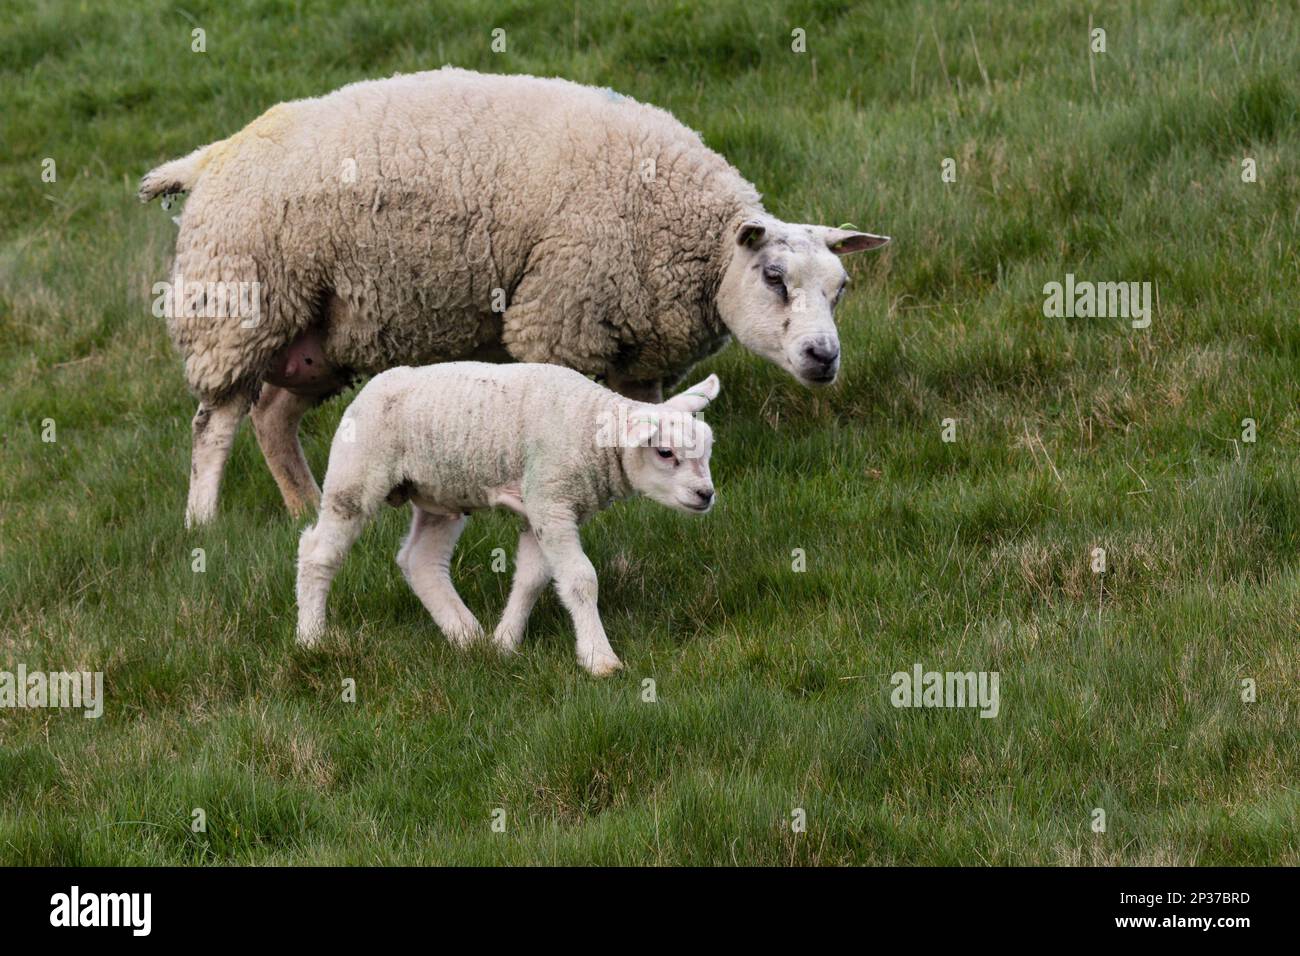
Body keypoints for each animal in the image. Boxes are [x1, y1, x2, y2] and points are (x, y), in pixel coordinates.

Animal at [139, 68, 889, 527]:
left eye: (841, 289)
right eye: (773, 277)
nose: (824, 357)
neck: (686, 229)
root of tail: (210, 157)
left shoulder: (639, 350)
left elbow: (644, 417)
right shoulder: (560, 316)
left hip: (321, 336)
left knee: (271, 415)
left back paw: (304, 506)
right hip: (238, 305)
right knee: (216, 424)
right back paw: (203, 522)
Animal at [295, 362, 721, 676]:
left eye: (708, 449)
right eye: (665, 452)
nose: (706, 495)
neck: (589, 426)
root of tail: (367, 388)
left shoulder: (542, 507)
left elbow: (532, 578)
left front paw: (503, 643)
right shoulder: (551, 499)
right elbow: (581, 579)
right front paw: (600, 659)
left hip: (440, 493)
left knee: (421, 561)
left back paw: (467, 636)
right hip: (356, 471)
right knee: (318, 553)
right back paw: (311, 638)